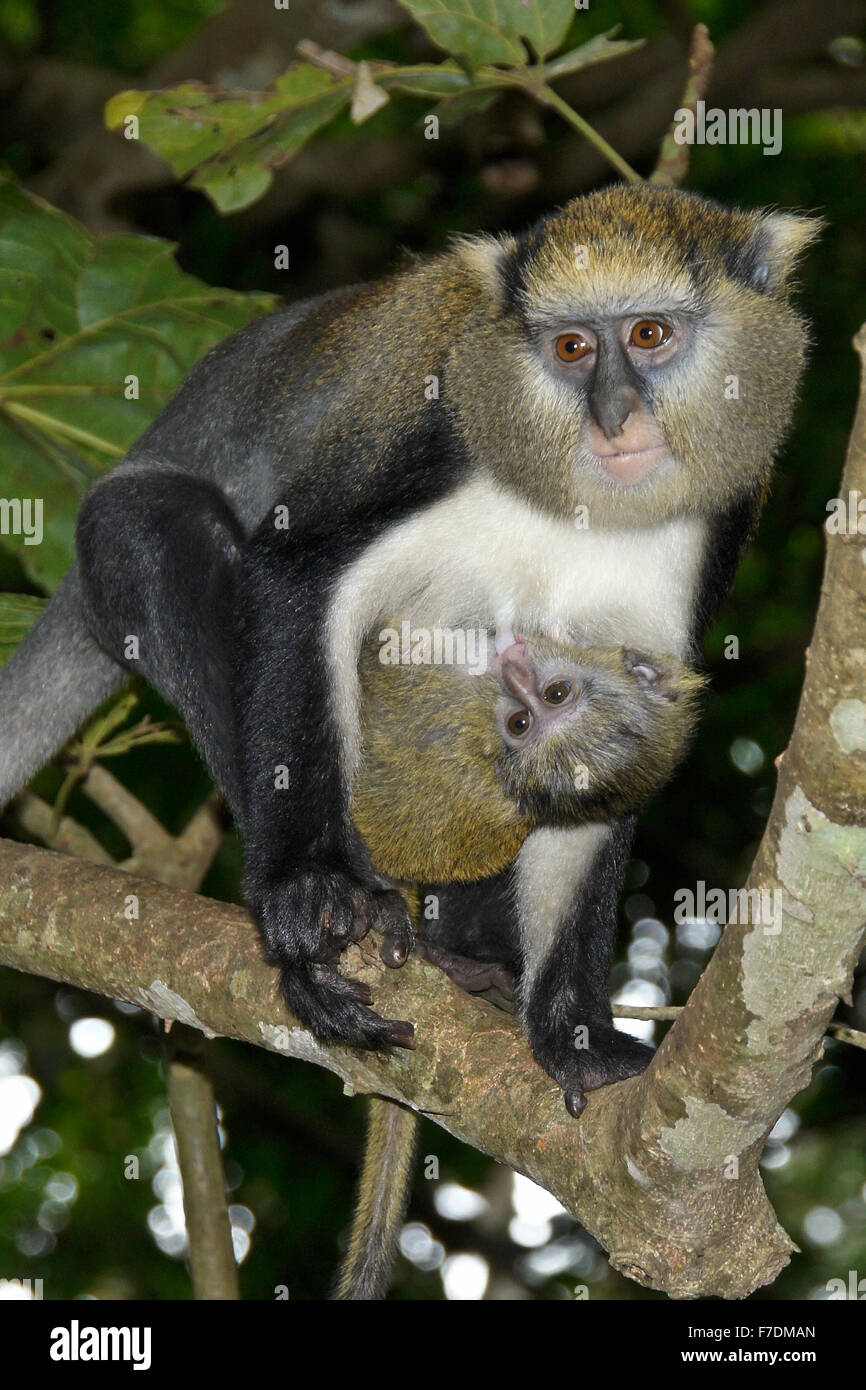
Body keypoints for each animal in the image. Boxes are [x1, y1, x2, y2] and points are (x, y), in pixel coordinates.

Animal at [0, 183, 819, 1122]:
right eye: (572, 348)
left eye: (649, 334)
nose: (615, 417)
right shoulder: (440, 440)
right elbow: (298, 575)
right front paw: (309, 890)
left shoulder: (712, 534)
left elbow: (616, 757)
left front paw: (573, 1032)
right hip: (123, 530)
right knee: (154, 526)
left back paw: (472, 957)